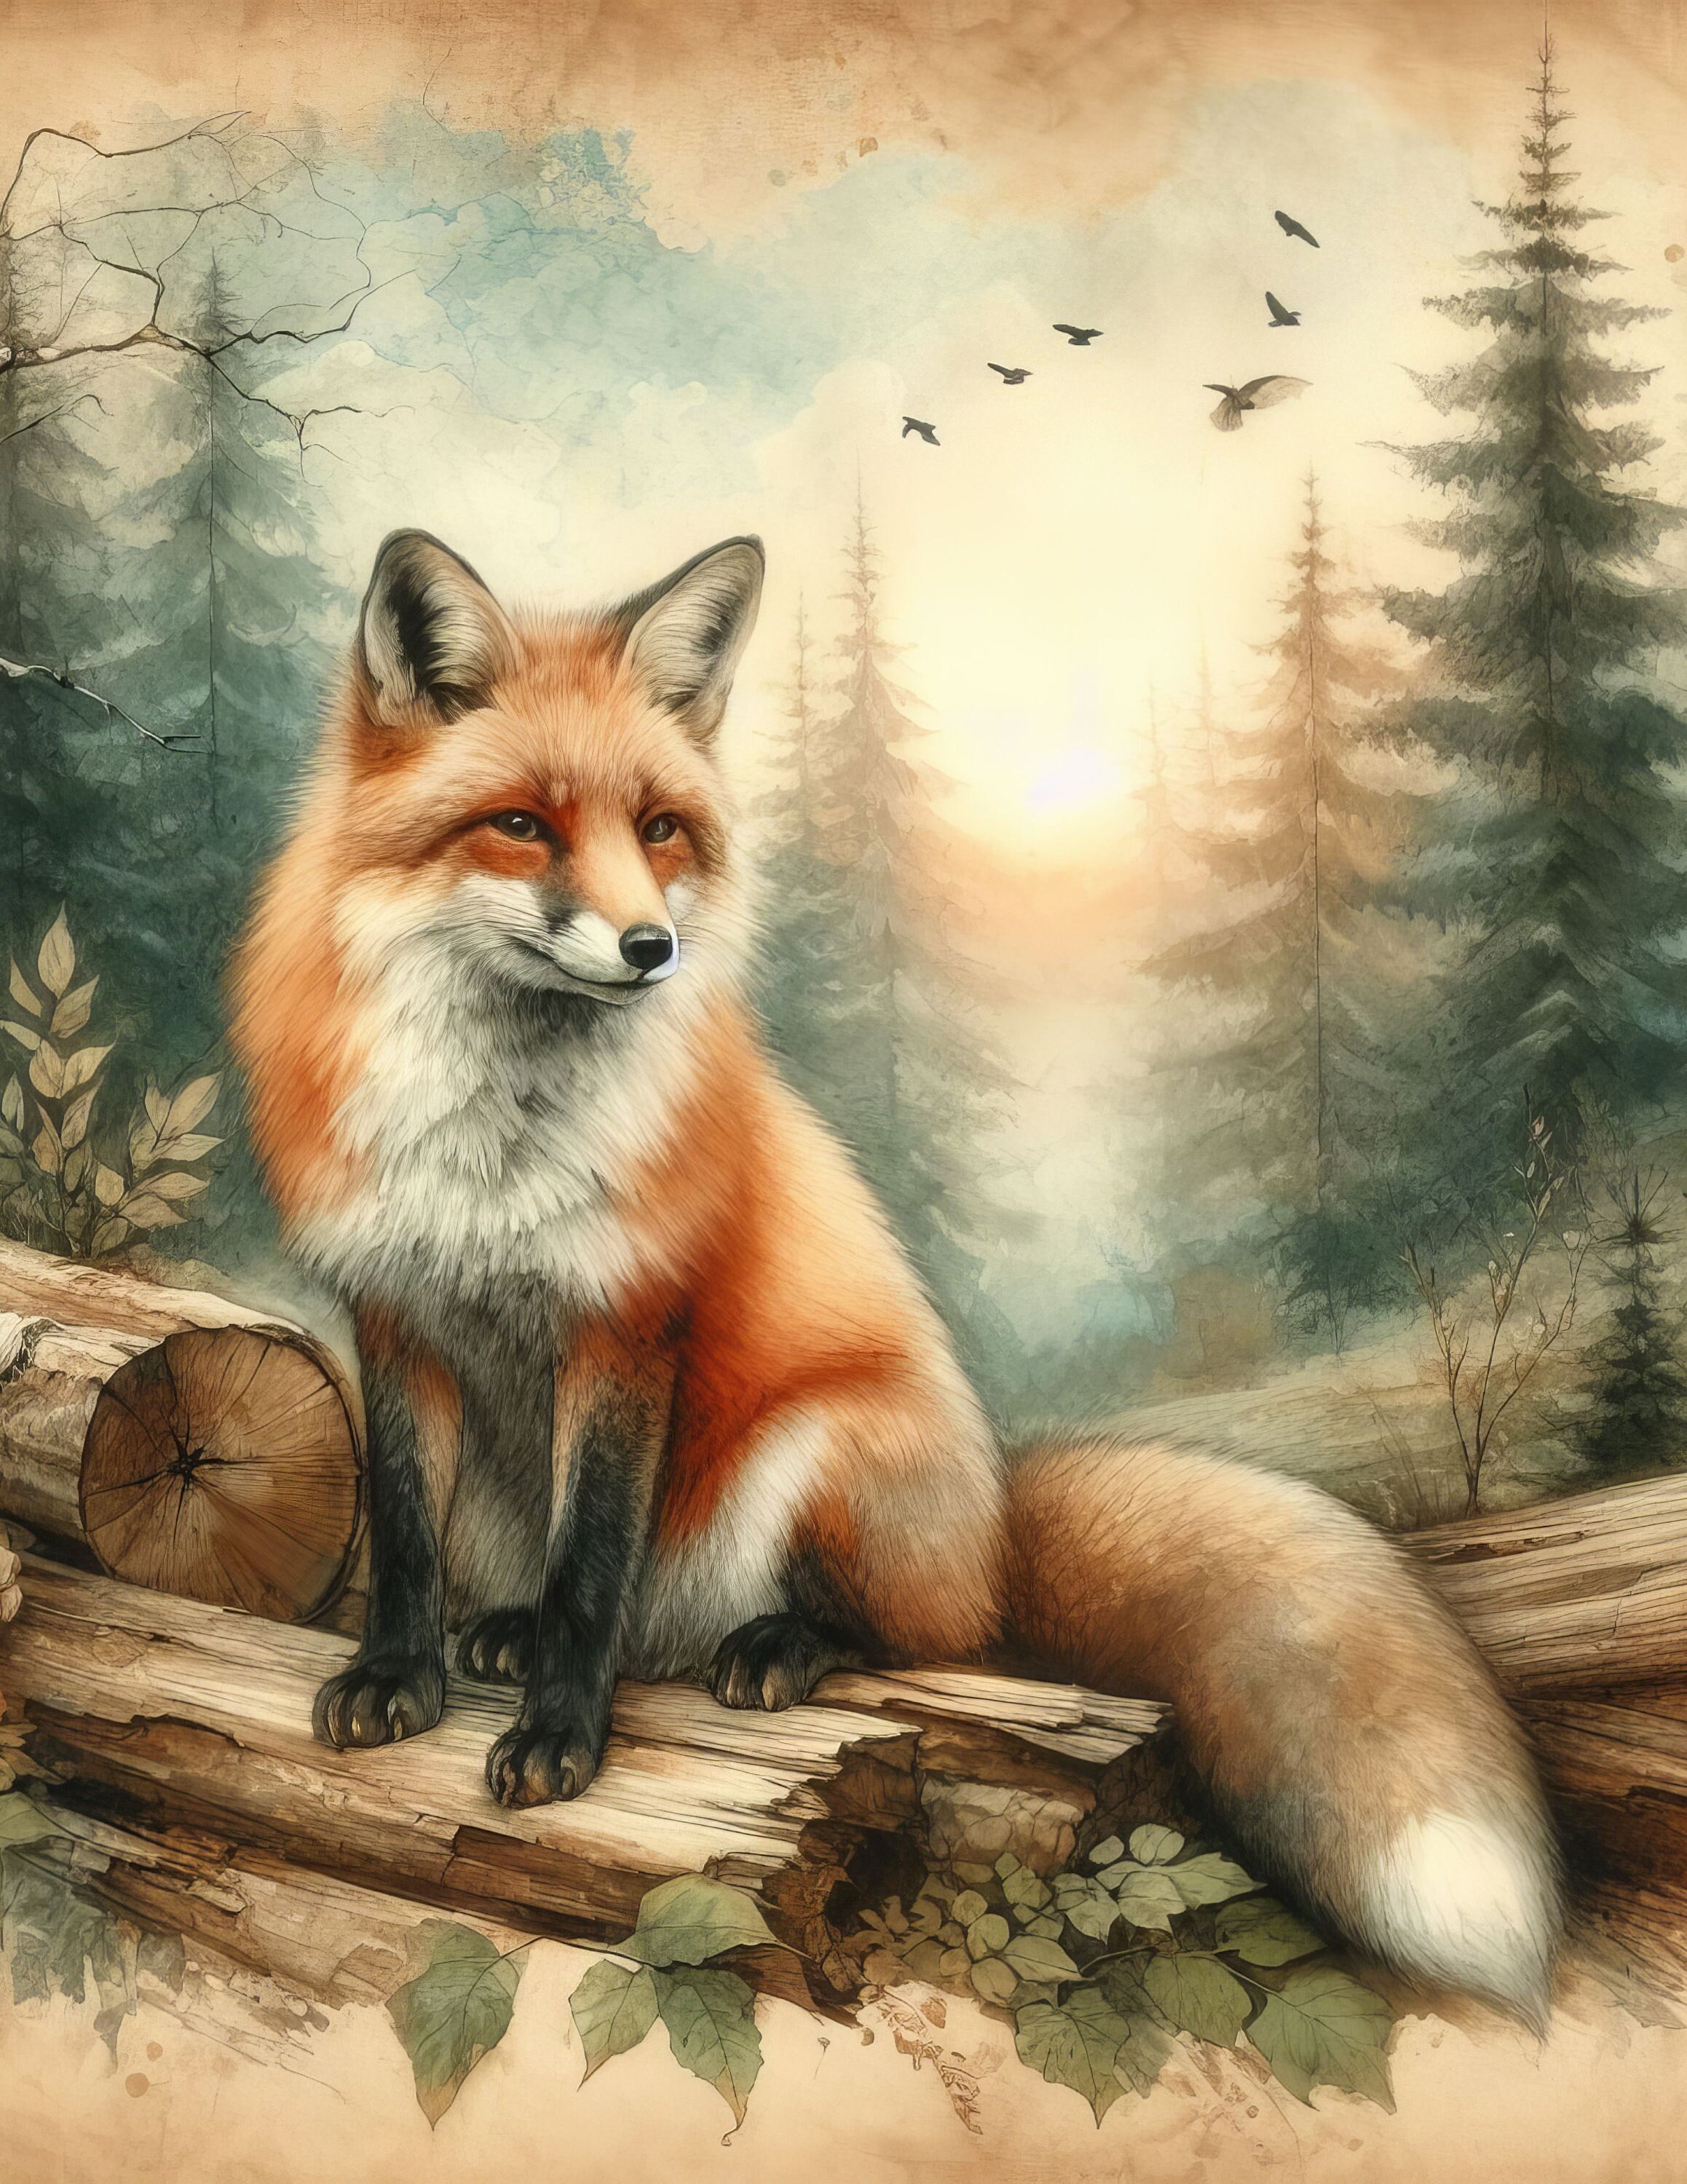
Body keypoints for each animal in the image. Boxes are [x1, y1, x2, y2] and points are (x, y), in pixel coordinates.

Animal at [230, 528, 1562, 2028]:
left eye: (660, 830)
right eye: (521, 823)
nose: (651, 950)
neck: (491, 1148)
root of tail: (995, 1522)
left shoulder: (630, 1324)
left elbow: (592, 1574)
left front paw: (561, 1744)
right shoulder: (395, 1315)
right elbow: (405, 1539)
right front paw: (392, 1681)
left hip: (824, 1456)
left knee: (907, 1643)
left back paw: (777, 1649)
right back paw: (506, 1637)